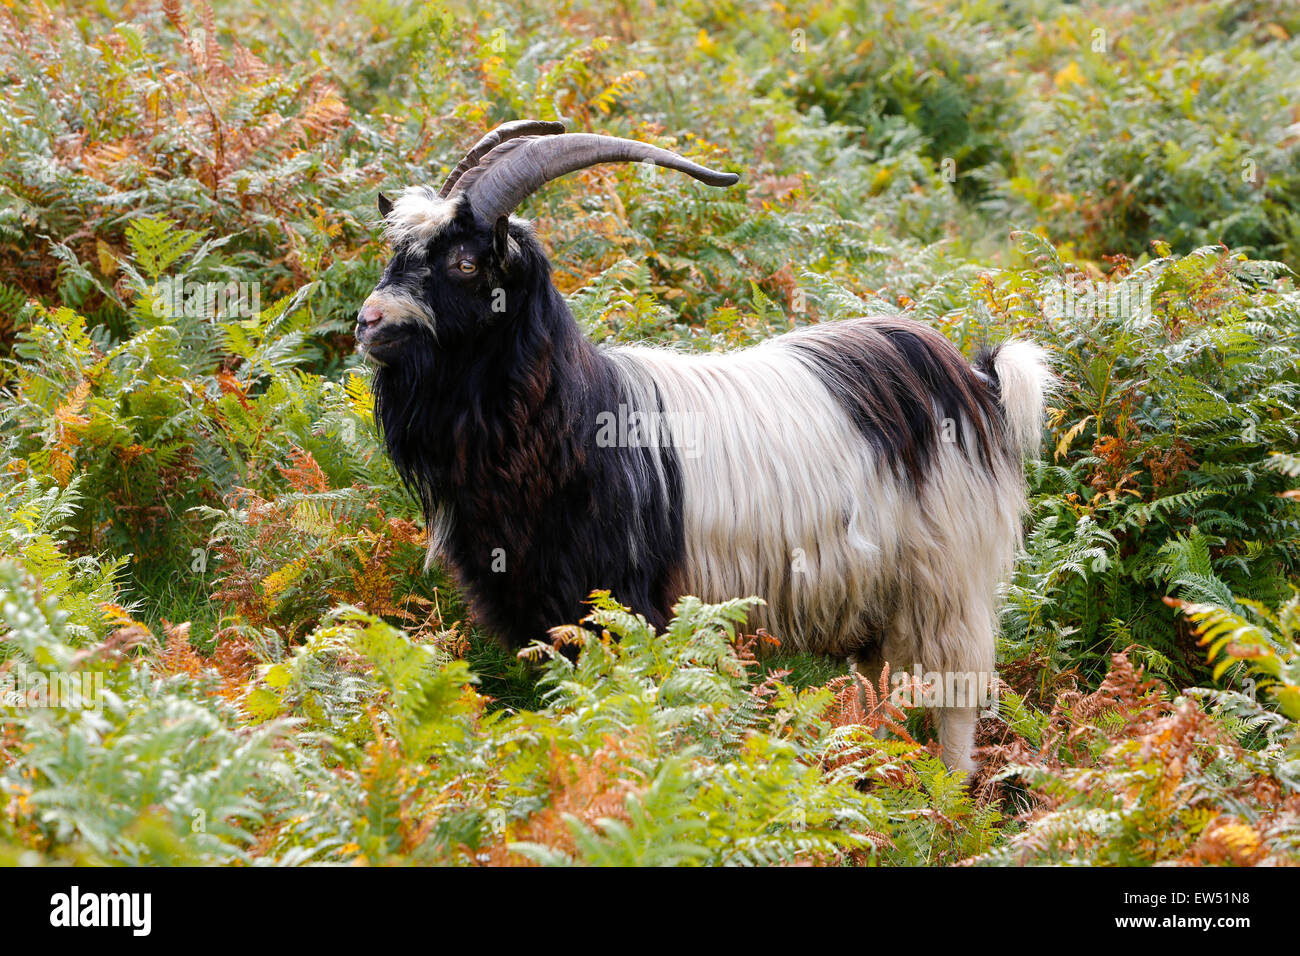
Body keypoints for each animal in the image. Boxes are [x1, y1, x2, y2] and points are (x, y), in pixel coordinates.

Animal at [357, 121, 1052, 772]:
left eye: (466, 263)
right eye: (399, 250)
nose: (368, 322)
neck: (571, 421)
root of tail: (976, 381)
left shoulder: (627, 610)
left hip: (945, 577)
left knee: (954, 696)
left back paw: (947, 796)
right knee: (877, 684)